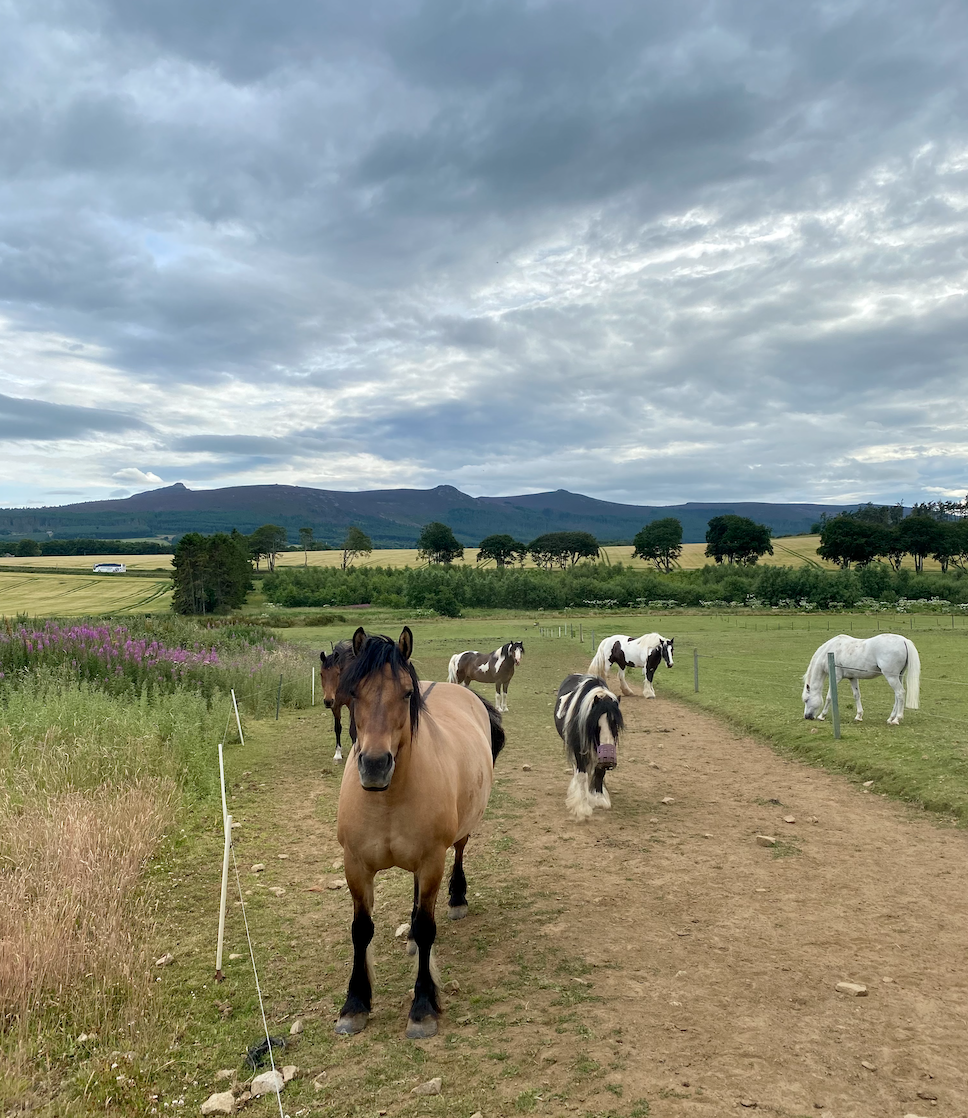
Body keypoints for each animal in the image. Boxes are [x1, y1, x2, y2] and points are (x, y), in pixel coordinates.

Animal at [335, 626, 505, 1039]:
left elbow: (428, 929)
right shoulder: (355, 866)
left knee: (459, 852)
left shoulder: (431, 862)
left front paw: (423, 1007)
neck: (387, 799)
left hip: (455, 839)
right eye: (354, 692)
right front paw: (355, 1004)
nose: (375, 766)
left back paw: (456, 899)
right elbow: (360, 930)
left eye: (406, 694)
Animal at [554, 674, 624, 821]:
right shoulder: (579, 750)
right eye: (595, 723)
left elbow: (599, 771)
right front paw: (582, 807)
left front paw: (599, 797)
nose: (608, 760)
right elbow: (582, 775)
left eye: (615, 723)